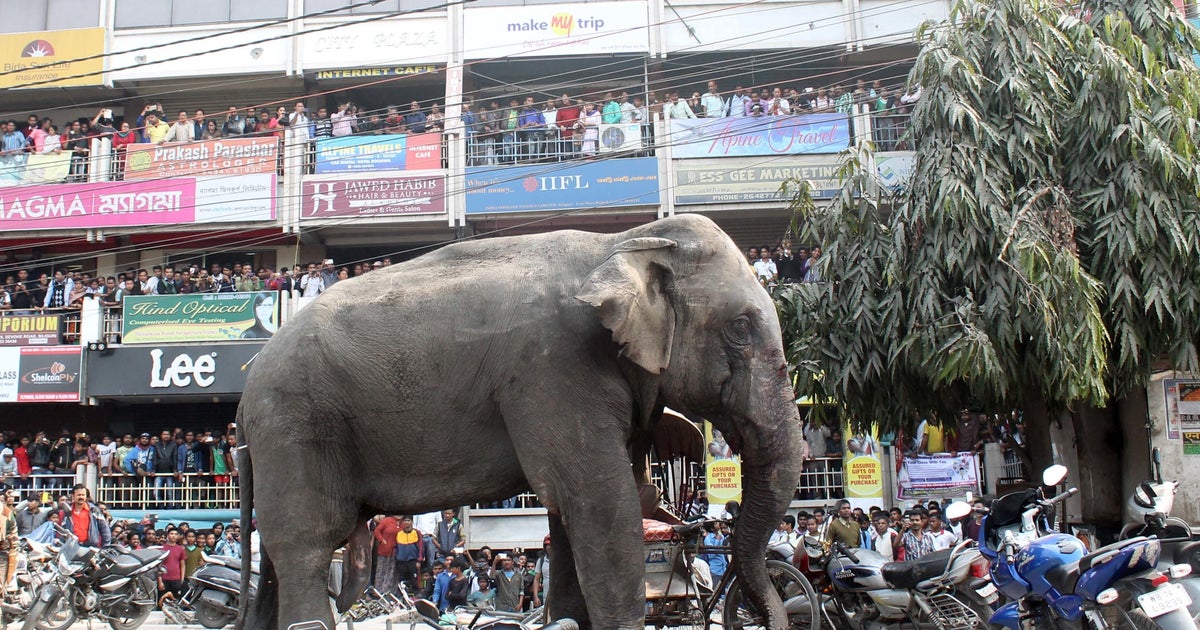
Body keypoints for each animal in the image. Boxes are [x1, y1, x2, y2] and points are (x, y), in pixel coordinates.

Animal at [234, 213, 805, 630]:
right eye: (739, 328)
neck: (622, 243)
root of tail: (247, 386)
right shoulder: (555, 370)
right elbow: (601, 503)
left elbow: (569, 516)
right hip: (295, 425)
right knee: (307, 546)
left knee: (276, 566)